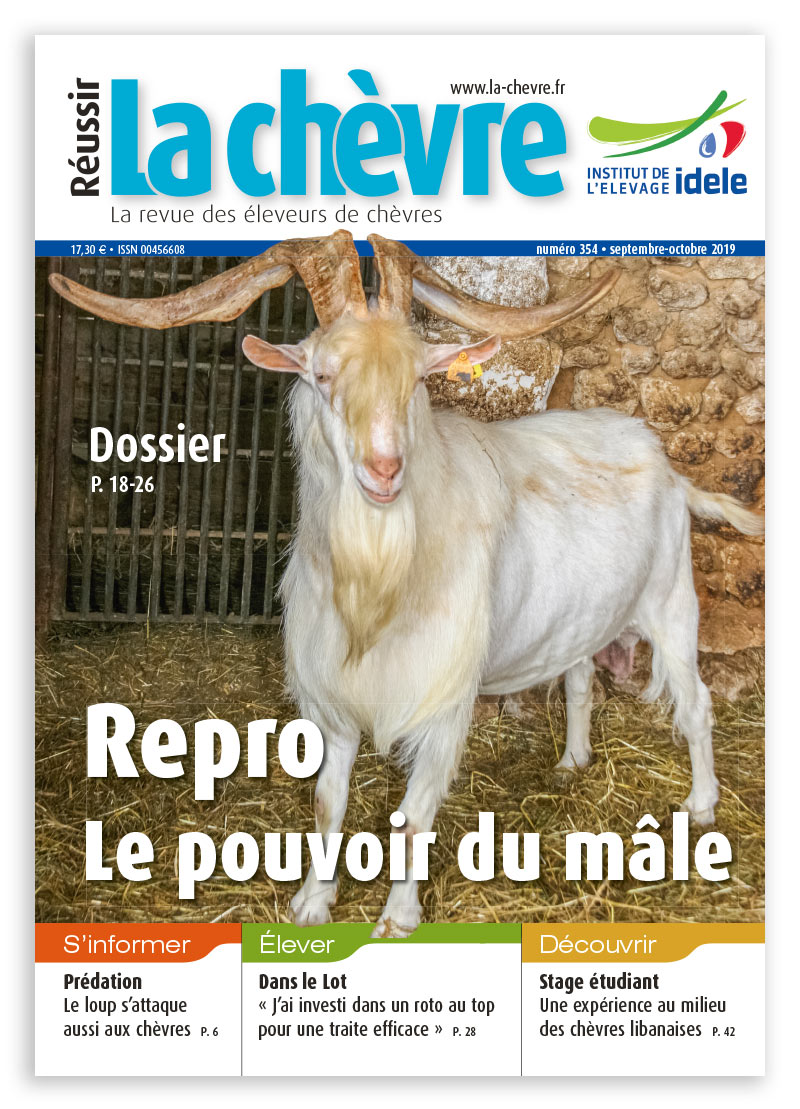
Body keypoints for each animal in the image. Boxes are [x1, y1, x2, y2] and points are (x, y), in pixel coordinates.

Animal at [51, 231, 763, 938]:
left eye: (419, 378)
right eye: (322, 375)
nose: (385, 470)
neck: (379, 584)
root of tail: (672, 471)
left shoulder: (443, 695)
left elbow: (413, 819)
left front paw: (397, 918)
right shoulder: (333, 694)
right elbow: (326, 803)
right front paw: (312, 903)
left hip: (673, 602)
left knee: (696, 702)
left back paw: (702, 805)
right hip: (587, 617)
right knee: (582, 678)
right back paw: (572, 762)